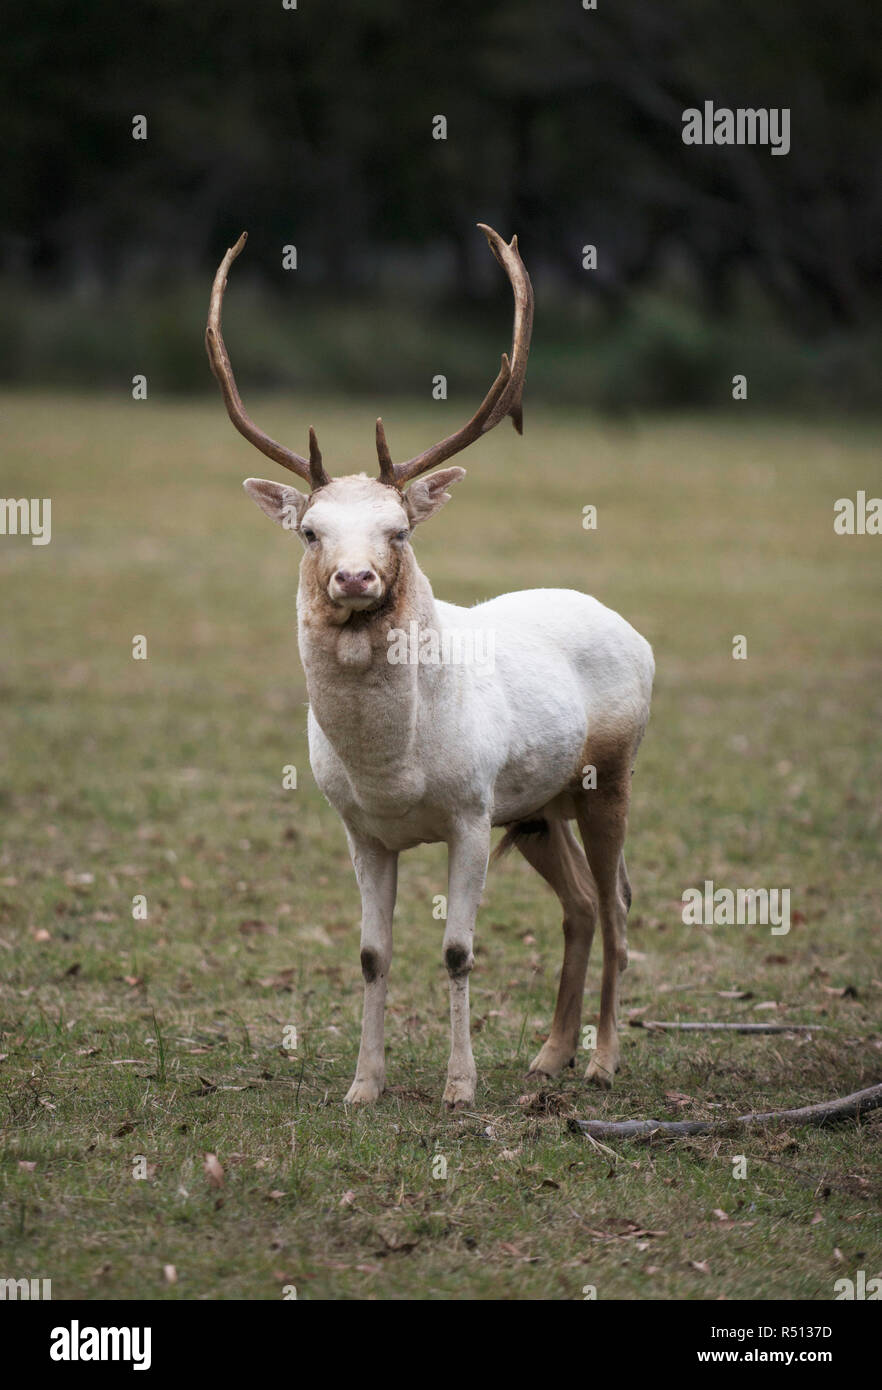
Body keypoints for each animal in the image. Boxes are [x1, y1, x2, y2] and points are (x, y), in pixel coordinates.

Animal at [206, 224, 654, 1109]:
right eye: (309, 530)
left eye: (400, 530)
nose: (354, 578)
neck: (392, 771)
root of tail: (638, 635)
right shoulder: (359, 828)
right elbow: (371, 954)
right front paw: (362, 1087)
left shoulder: (472, 811)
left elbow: (456, 949)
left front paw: (458, 1087)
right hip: (540, 806)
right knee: (583, 904)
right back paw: (549, 1056)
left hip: (609, 771)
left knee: (620, 904)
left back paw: (604, 1061)